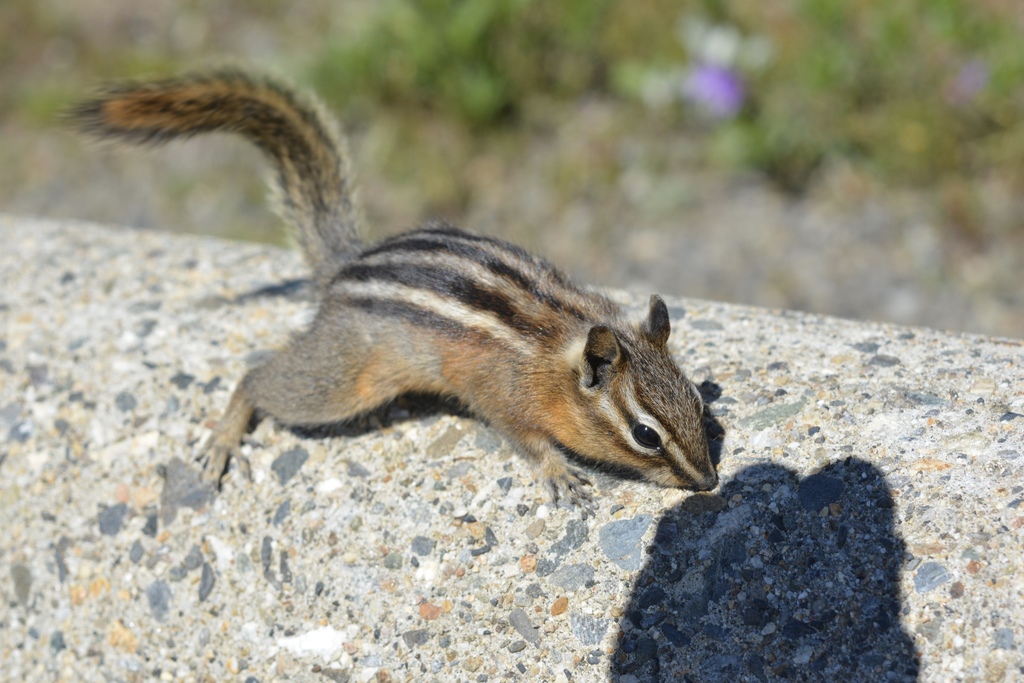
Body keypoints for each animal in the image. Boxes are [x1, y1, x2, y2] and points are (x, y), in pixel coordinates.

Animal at [72, 69, 719, 506]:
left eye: (698, 400)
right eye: (645, 435)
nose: (710, 482)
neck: (563, 348)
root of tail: (346, 267)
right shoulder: (502, 397)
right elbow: (524, 439)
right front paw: (558, 474)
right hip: (341, 381)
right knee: (258, 379)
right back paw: (225, 437)